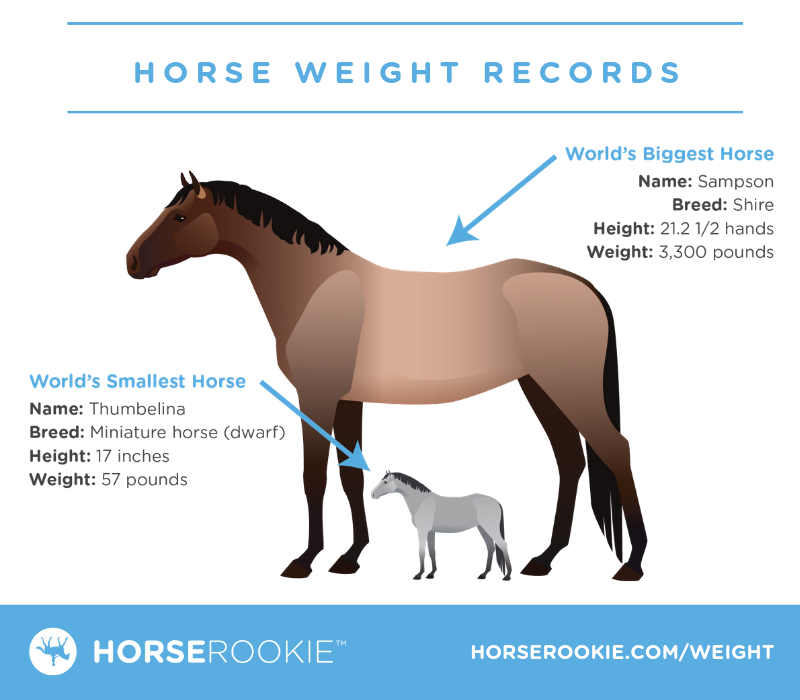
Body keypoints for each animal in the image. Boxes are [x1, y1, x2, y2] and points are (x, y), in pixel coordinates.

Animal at [372, 471, 511, 581]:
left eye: (385, 482)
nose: (372, 494)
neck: (421, 501)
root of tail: (496, 502)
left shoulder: (422, 531)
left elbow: (421, 552)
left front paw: (419, 574)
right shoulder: (431, 532)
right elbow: (432, 551)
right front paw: (431, 574)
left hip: (490, 528)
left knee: (503, 545)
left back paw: (507, 576)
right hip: (482, 528)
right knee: (490, 547)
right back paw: (484, 574)